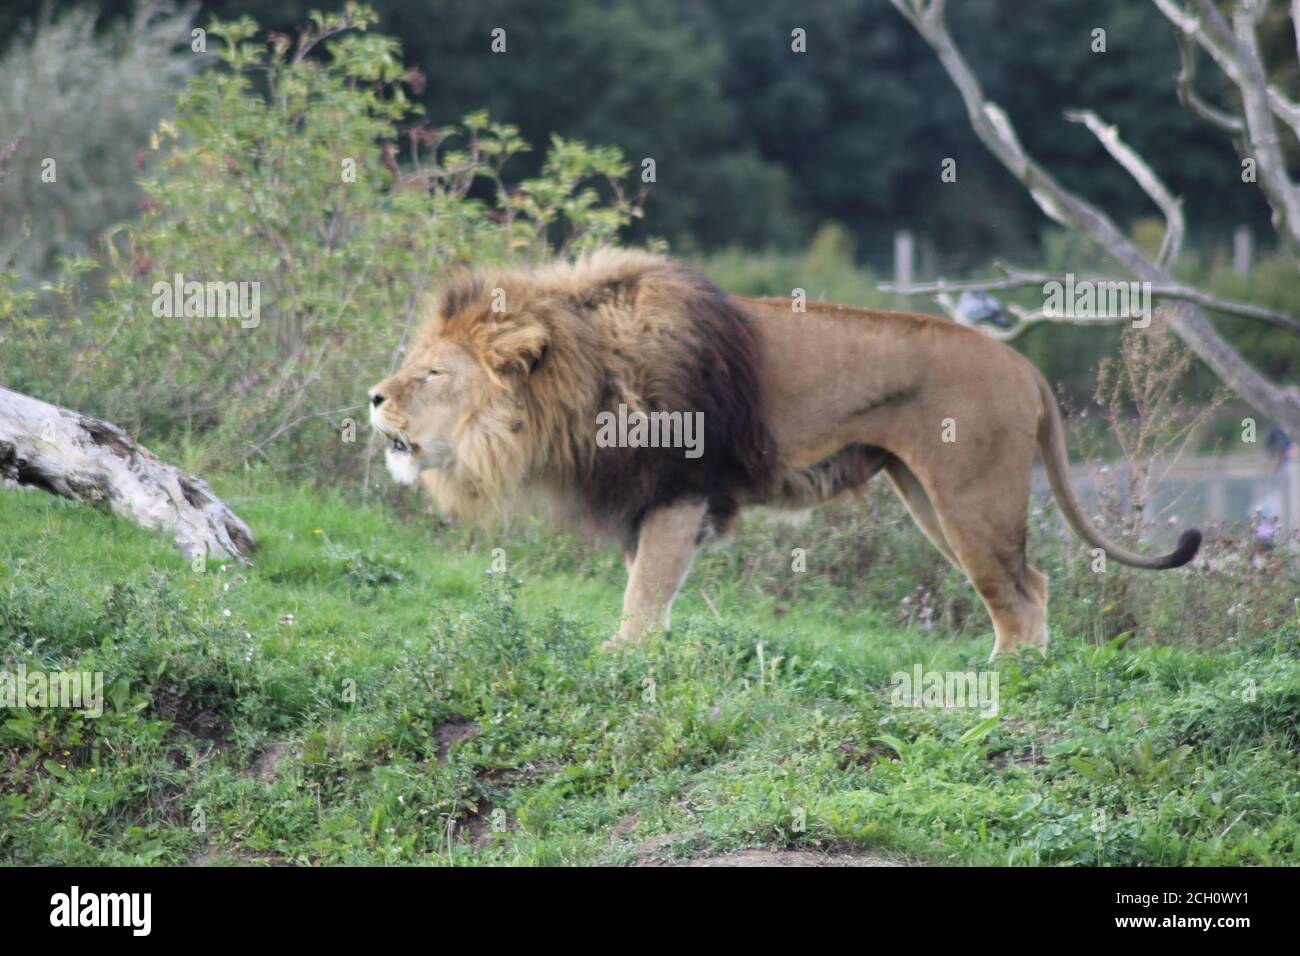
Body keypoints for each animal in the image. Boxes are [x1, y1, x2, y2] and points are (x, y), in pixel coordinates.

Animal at [369, 249, 1200, 657]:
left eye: (434, 373)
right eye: (415, 362)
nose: (374, 398)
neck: (584, 378)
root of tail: (1023, 363)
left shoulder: (680, 490)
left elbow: (644, 596)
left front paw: (622, 659)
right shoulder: (647, 501)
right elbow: (646, 588)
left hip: (972, 494)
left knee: (1020, 594)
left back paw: (1001, 690)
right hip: (928, 495)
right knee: (1033, 583)